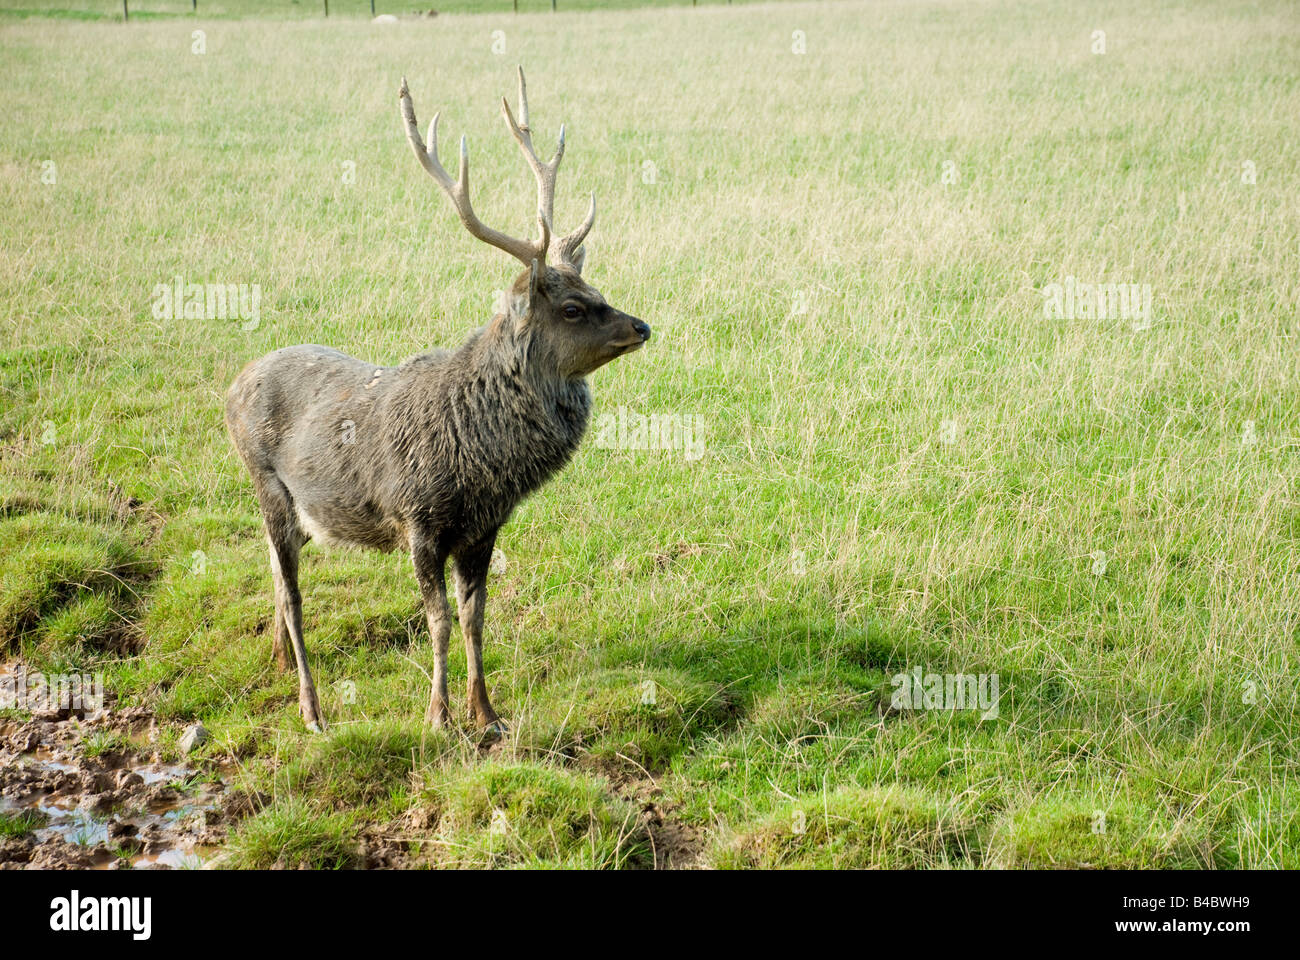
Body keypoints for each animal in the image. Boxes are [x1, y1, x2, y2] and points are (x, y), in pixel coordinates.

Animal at [224, 68, 650, 733]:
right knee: (292, 594)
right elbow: (440, 621)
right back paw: (311, 710)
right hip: (265, 484)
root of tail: (229, 387)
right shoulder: (417, 521)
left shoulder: (483, 528)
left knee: (272, 573)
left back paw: (278, 662)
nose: (641, 326)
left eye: (596, 287)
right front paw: (438, 715)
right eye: (573, 308)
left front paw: (487, 713)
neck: (480, 465)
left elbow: (476, 619)